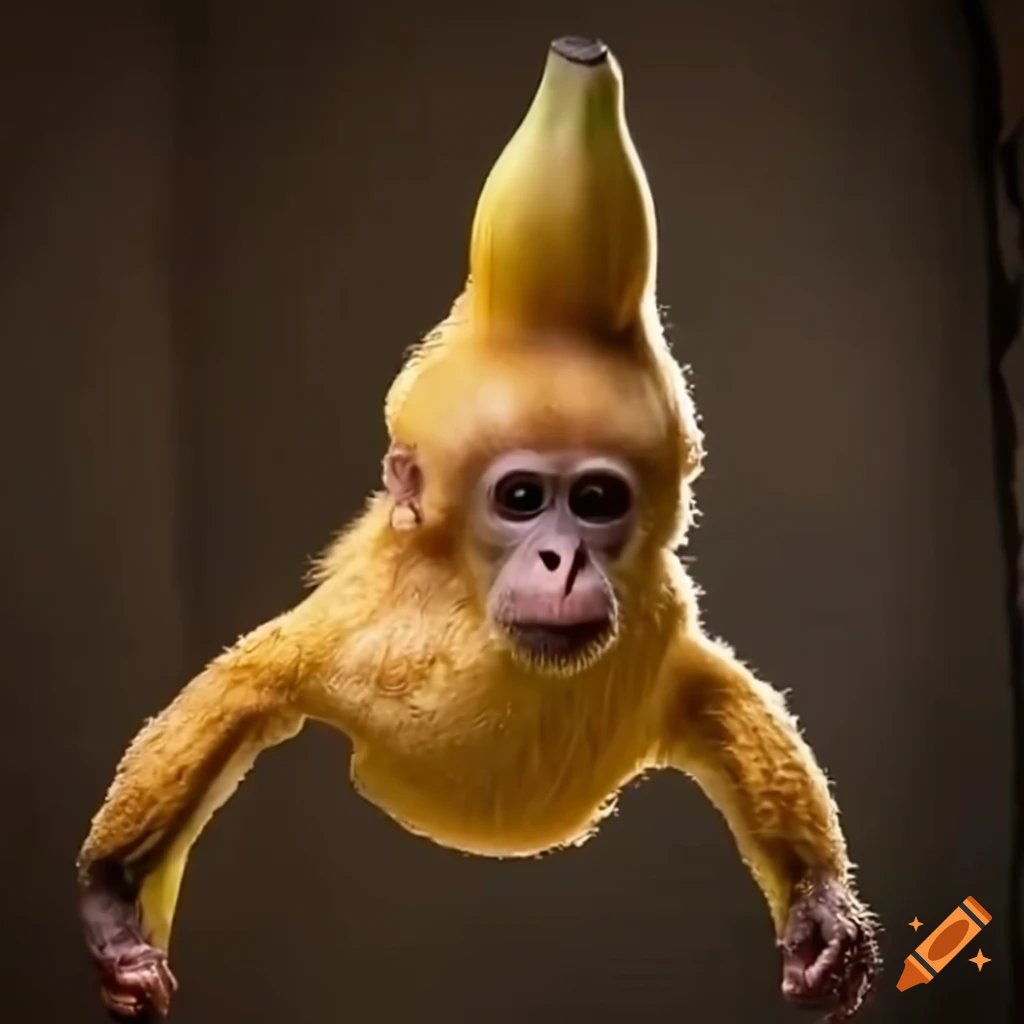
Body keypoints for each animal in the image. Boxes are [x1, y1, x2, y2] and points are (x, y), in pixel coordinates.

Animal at [76, 35, 881, 1023]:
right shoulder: (371, 638)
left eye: (597, 501)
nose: (562, 558)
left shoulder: (652, 624)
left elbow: (715, 693)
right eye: (524, 498)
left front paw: (819, 906)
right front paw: (111, 897)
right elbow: (249, 683)